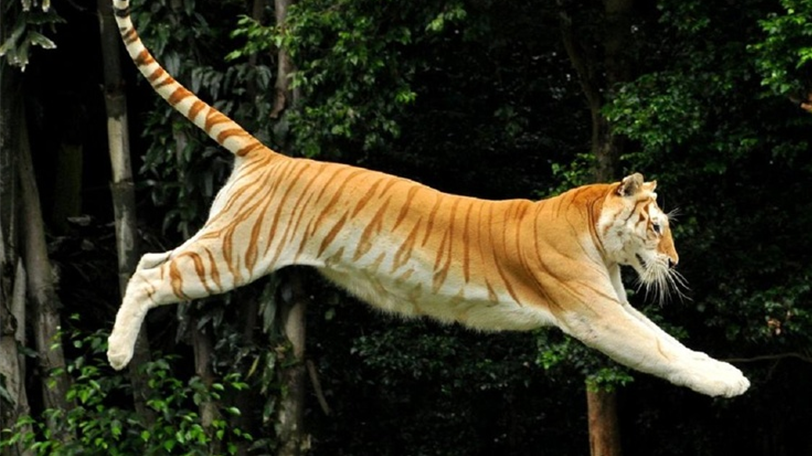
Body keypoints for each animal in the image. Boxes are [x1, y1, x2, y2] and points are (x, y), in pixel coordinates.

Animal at [106, 0, 750, 398]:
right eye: (658, 226)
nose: (675, 262)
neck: (595, 234)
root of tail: (271, 154)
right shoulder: (595, 313)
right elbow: (659, 350)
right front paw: (727, 384)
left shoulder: (614, 302)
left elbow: (673, 342)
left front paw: (726, 370)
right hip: (237, 251)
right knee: (151, 276)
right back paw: (116, 355)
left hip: (225, 237)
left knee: (148, 259)